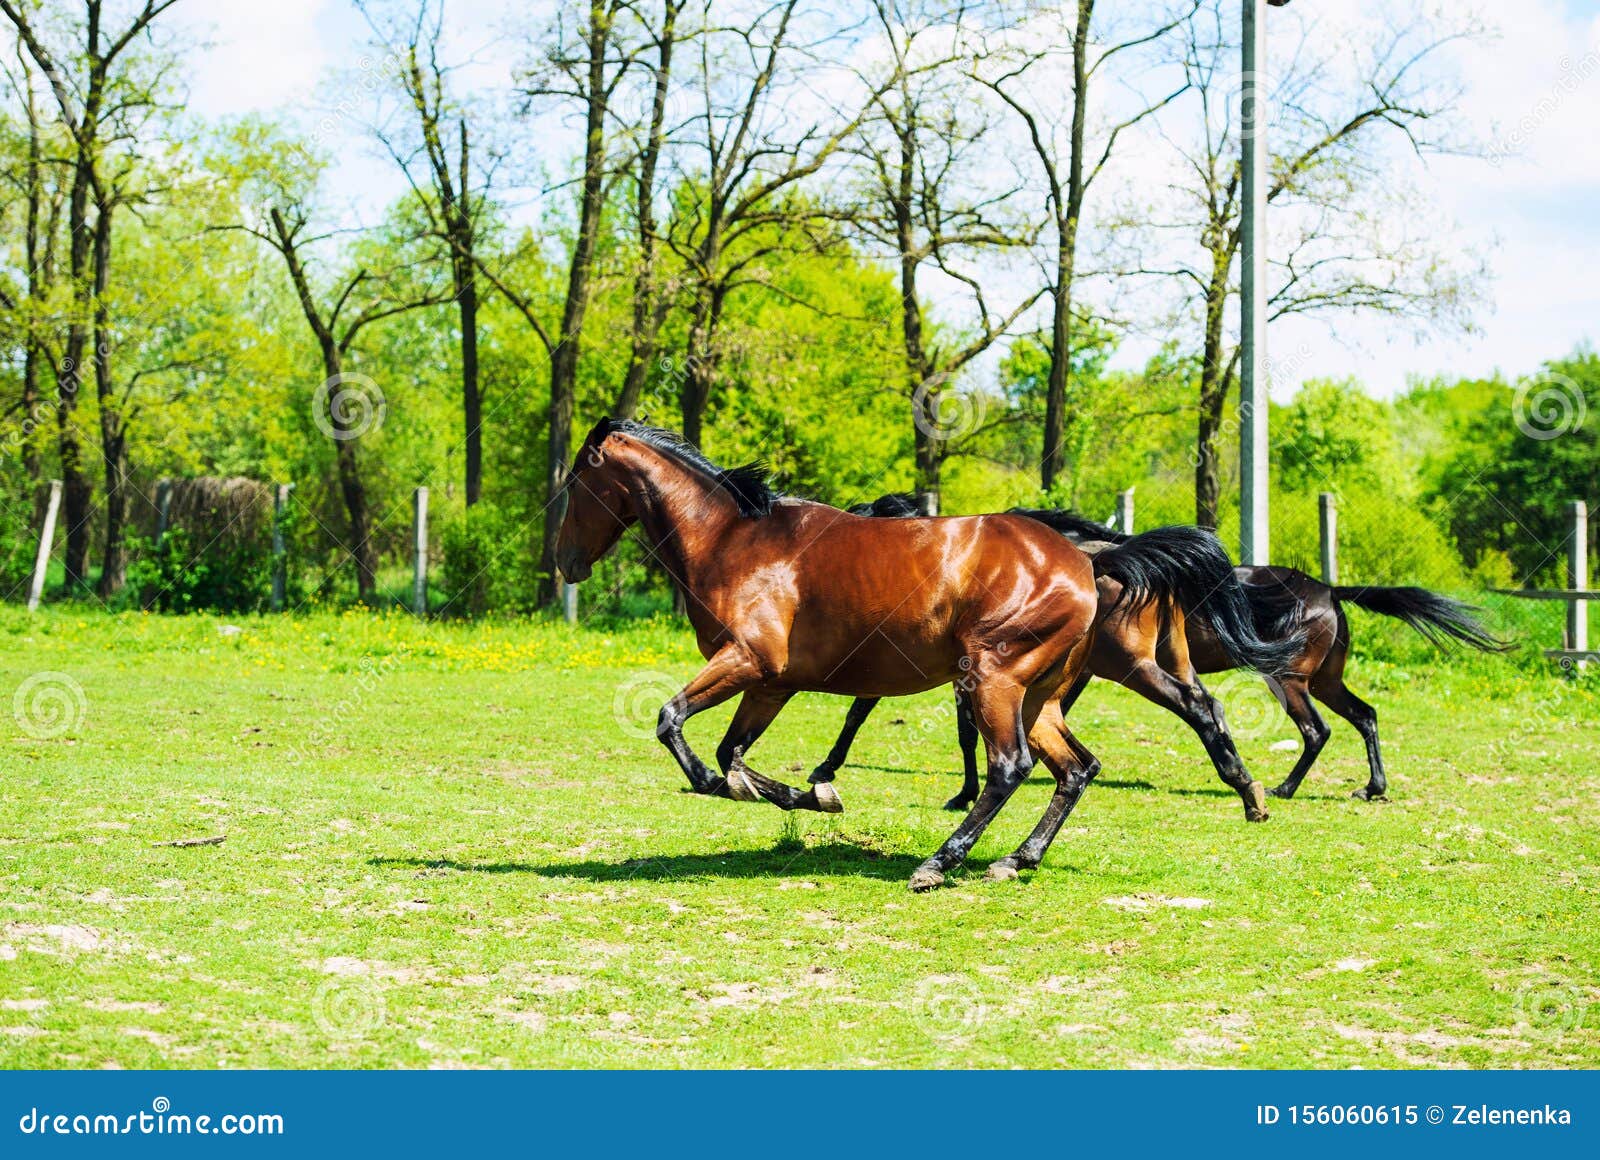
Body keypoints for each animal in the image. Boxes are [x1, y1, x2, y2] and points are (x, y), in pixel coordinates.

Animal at [553, 420, 1293, 890]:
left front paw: (740, 786)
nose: (562, 563)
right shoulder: (771, 684)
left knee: (1012, 767)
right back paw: (1016, 860)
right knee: (1078, 768)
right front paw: (809, 794)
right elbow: (736, 752)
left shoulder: (747, 664)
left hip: (996, 678)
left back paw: (941, 863)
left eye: (575, 486)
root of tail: (1087, 560)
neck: (736, 543)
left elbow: (675, 725)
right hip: (1042, 697)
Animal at [813, 501, 1507, 806]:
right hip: (1318, 678)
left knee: (1299, 726)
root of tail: (1330, 590)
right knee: (1360, 716)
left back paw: (1269, 787)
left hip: (1275, 679)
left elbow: (870, 710)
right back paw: (1358, 787)